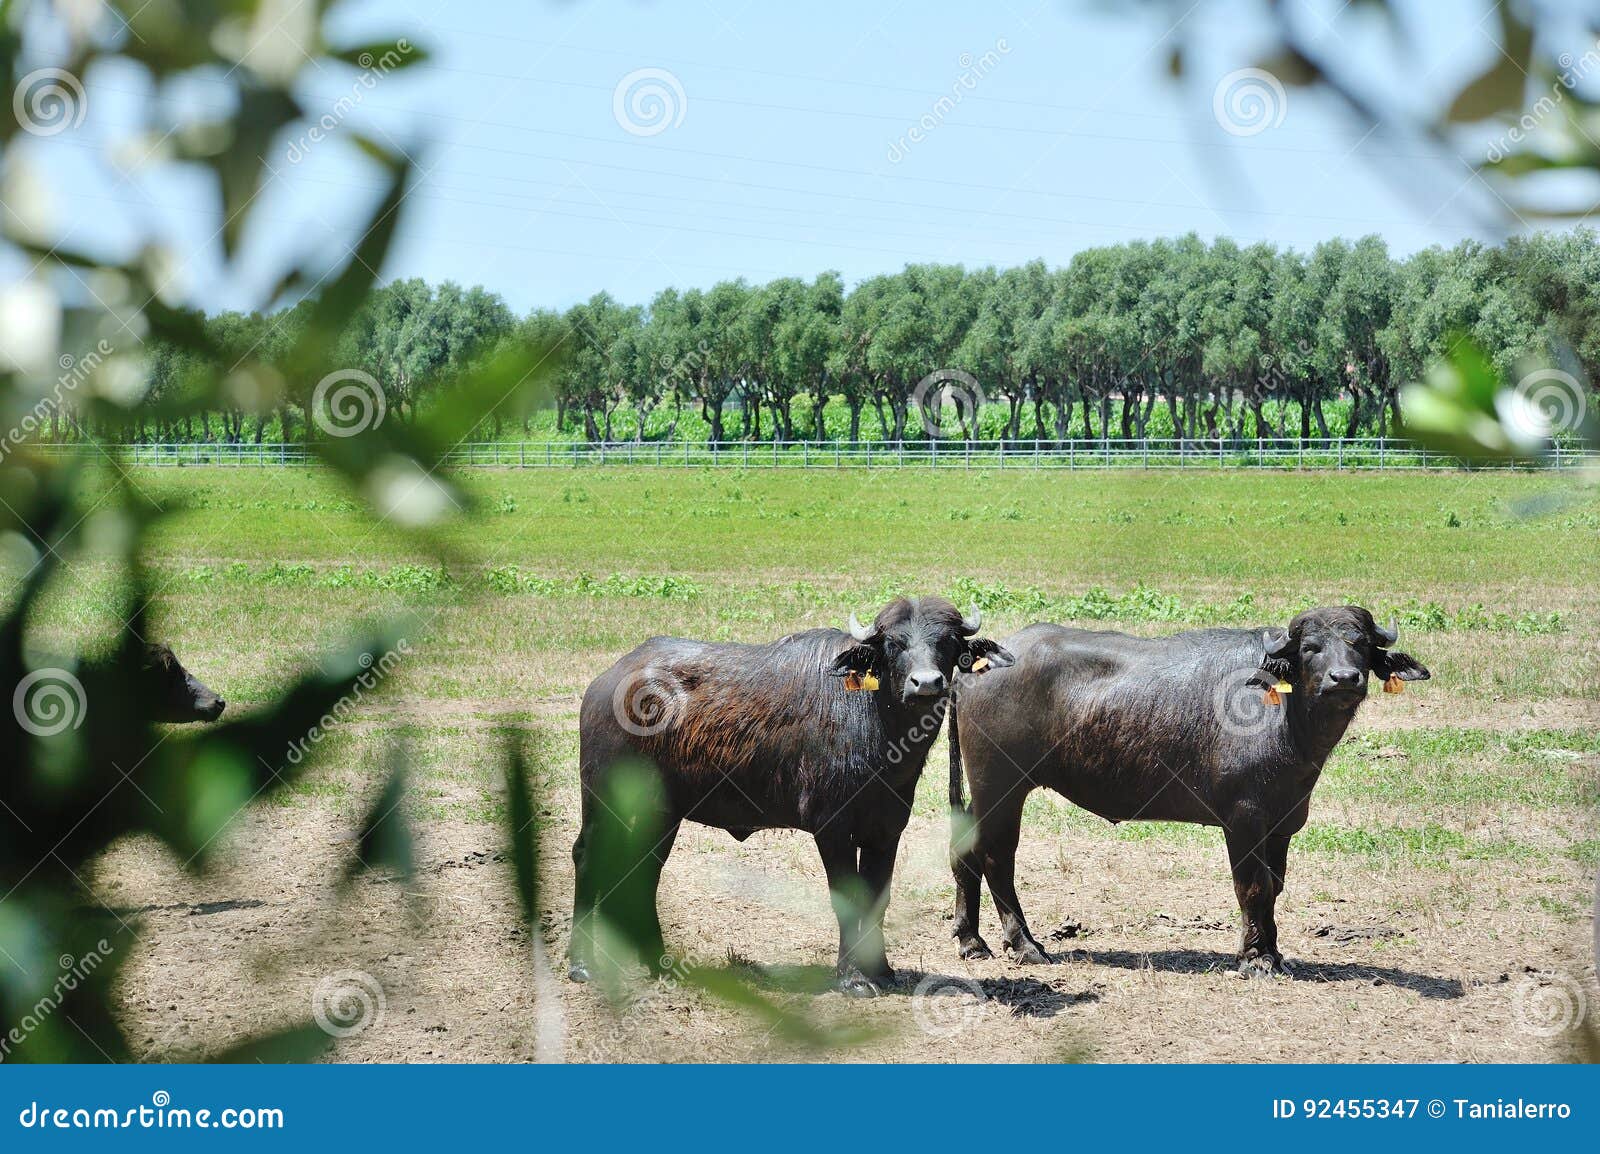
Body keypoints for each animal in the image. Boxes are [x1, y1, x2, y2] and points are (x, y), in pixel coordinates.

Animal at [570, 596, 1014, 991]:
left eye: (948, 642)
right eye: (893, 644)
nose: (926, 683)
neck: (876, 724)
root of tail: (608, 681)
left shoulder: (887, 830)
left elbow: (877, 899)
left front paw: (881, 971)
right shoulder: (831, 827)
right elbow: (845, 898)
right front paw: (852, 978)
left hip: (662, 813)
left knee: (645, 869)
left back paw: (657, 962)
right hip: (600, 798)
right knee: (588, 855)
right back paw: (581, 964)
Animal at [948, 606, 1428, 975]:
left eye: (1361, 645)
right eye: (1310, 648)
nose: (1343, 678)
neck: (1288, 719)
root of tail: (974, 667)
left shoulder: (1282, 825)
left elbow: (1274, 888)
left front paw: (1274, 953)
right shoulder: (1243, 820)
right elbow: (1252, 887)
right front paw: (1254, 959)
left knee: (965, 850)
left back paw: (971, 941)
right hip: (1002, 788)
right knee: (997, 858)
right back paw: (1025, 945)